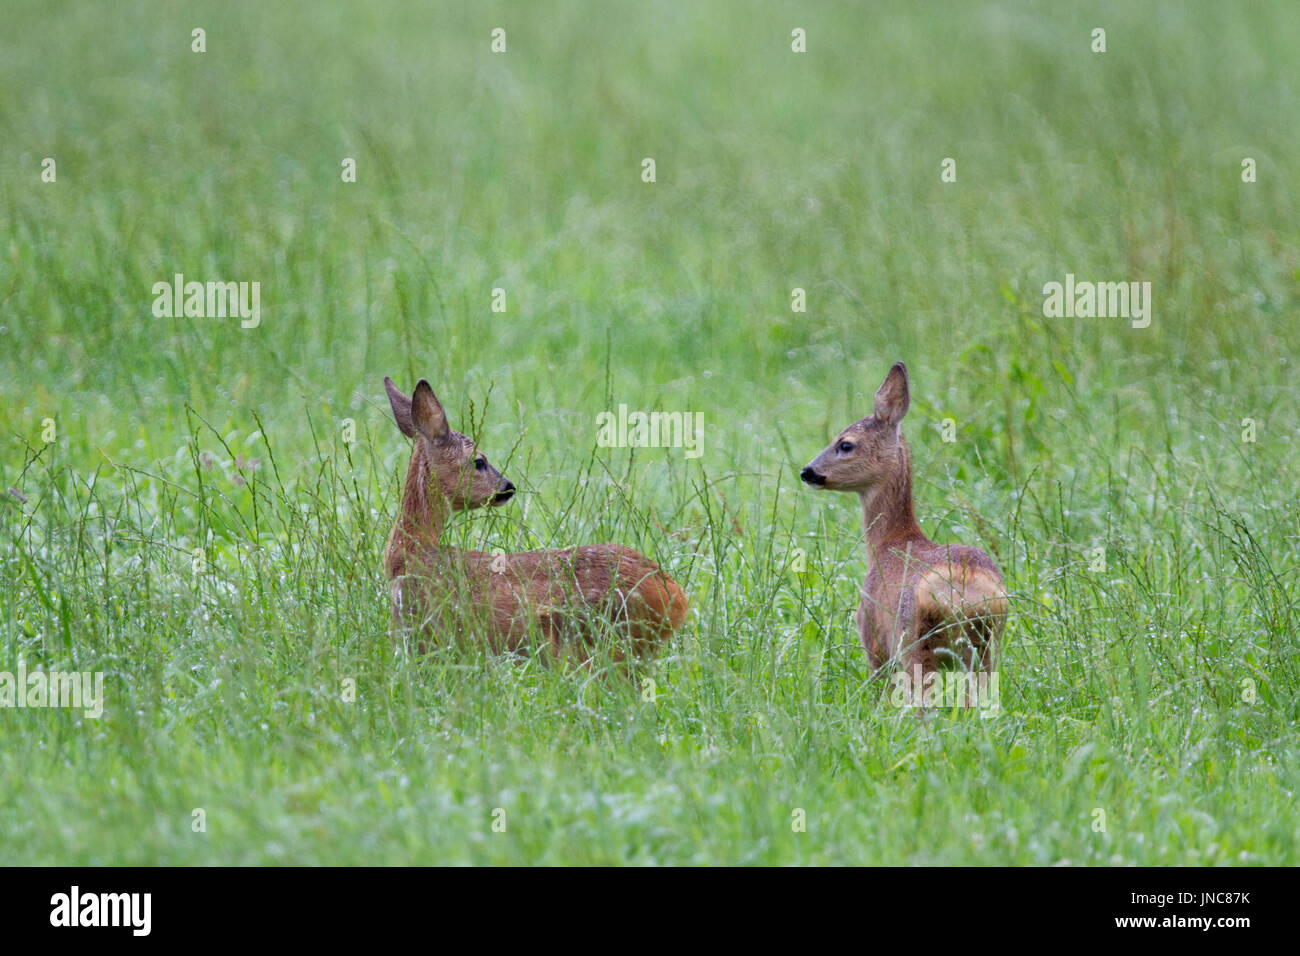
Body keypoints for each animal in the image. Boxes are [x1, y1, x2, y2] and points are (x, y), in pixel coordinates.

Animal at [800, 362, 1007, 704]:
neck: (888, 544)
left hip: (914, 639)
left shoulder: (873, 639)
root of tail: (965, 580)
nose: (807, 472)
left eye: (845, 444)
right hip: (986, 645)